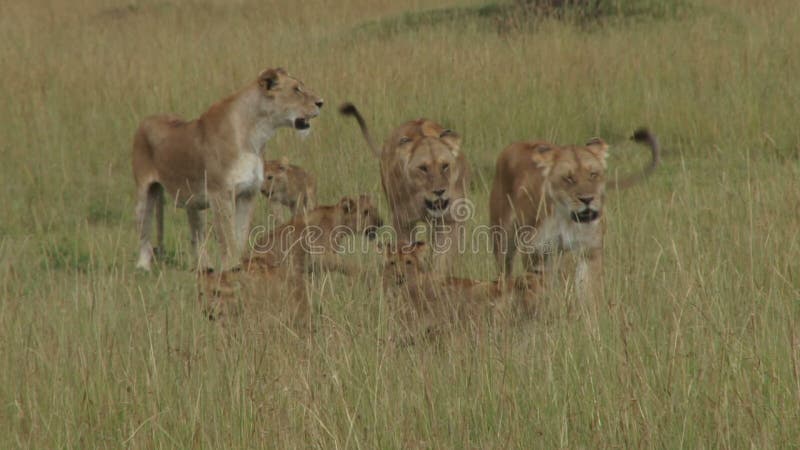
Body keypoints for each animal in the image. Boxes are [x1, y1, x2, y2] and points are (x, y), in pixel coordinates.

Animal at [133, 67, 323, 272]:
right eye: (296, 89)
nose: (321, 103)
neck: (256, 136)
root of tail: (147, 119)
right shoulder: (221, 195)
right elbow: (228, 239)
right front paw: (230, 269)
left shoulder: (248, 194)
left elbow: (240, 237)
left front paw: (239, 269)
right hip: (145, 192)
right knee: (144, 229)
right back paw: (143, 267)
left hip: (194, 203)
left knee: (196, 237)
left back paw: (204, 268)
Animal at [250, 194, 383, 276]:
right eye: (366, 211)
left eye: (375, 208)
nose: (381, 222)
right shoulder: (321, 256)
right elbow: (344, 264)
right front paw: (366, 273)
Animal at [339, 103, 470, 272]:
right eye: (423, 168)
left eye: (445, 166)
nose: (439, 191)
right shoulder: (402, 221)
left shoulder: (449, 220)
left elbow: (442, 260)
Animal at [489, 128, 660, 304]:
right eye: (569, 178)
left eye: (593, 174)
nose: (587, 199)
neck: (566, 217)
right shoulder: (536, 253)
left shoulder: (590, 250)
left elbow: (589, 291)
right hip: (502, 239)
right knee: (504, 272)